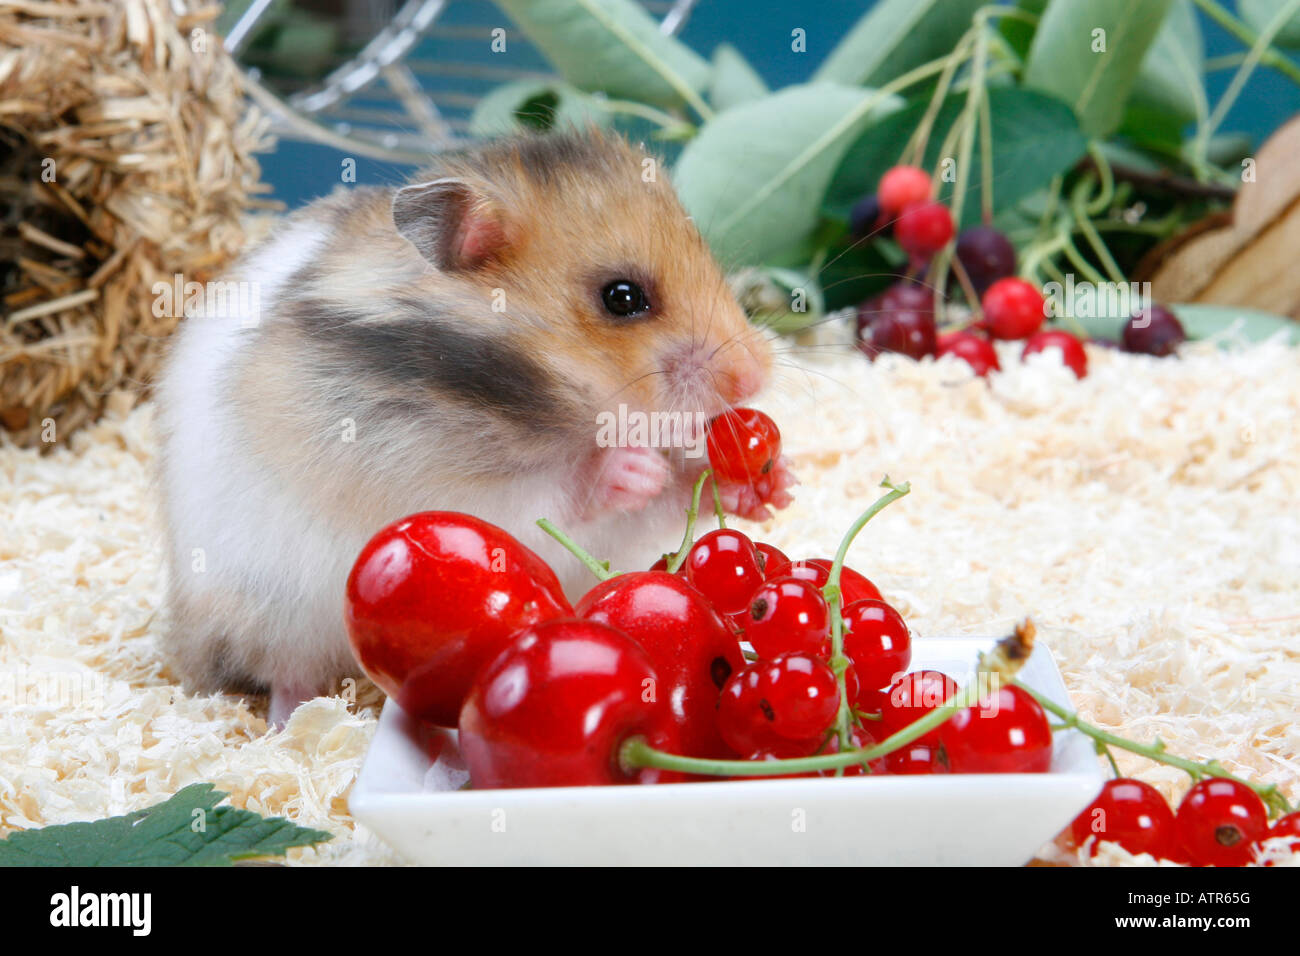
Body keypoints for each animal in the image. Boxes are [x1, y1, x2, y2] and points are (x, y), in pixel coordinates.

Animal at [154, 127, 791, 726]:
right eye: (622, 297)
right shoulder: (425, 482)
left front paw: (772, 485)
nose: (754, 376)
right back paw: (288, 725)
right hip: (269, 614)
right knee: (284, 676)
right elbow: (549, 494)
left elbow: (671, 499)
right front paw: (629, 470)